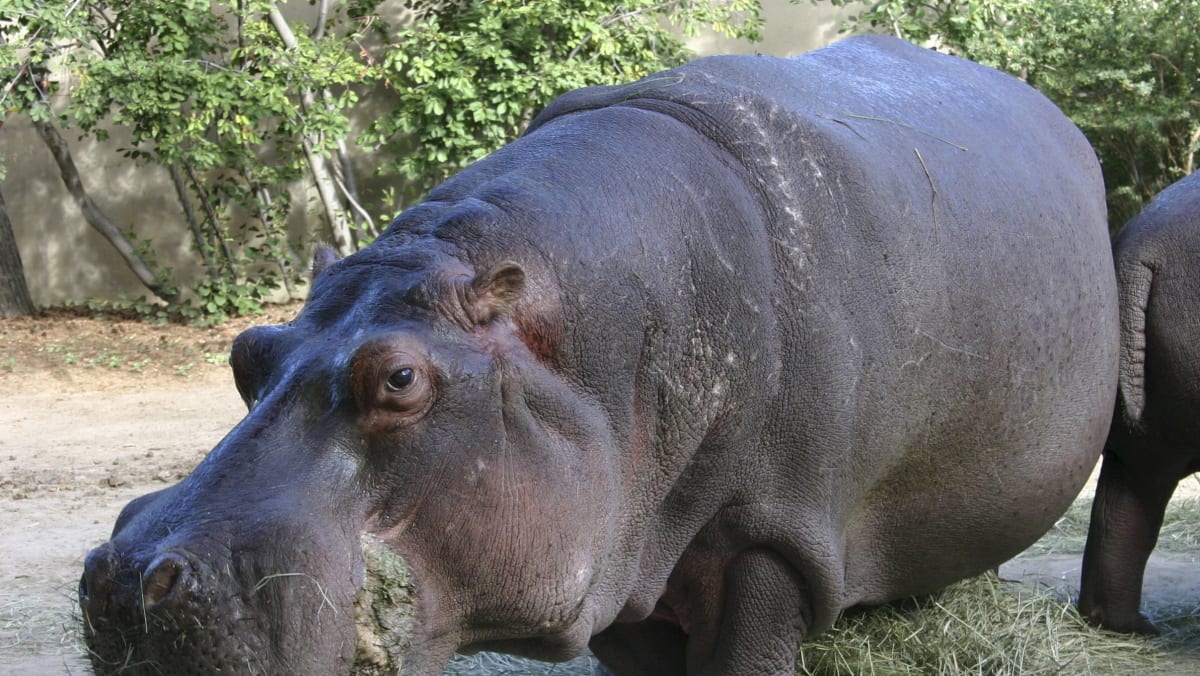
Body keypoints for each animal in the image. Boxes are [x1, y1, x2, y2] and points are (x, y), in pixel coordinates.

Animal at [79, 35, 1118, 675]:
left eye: (400, 378)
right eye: (246, 355)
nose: (127, 580)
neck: (580, 353)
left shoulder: (773, 536)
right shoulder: (623, 558)